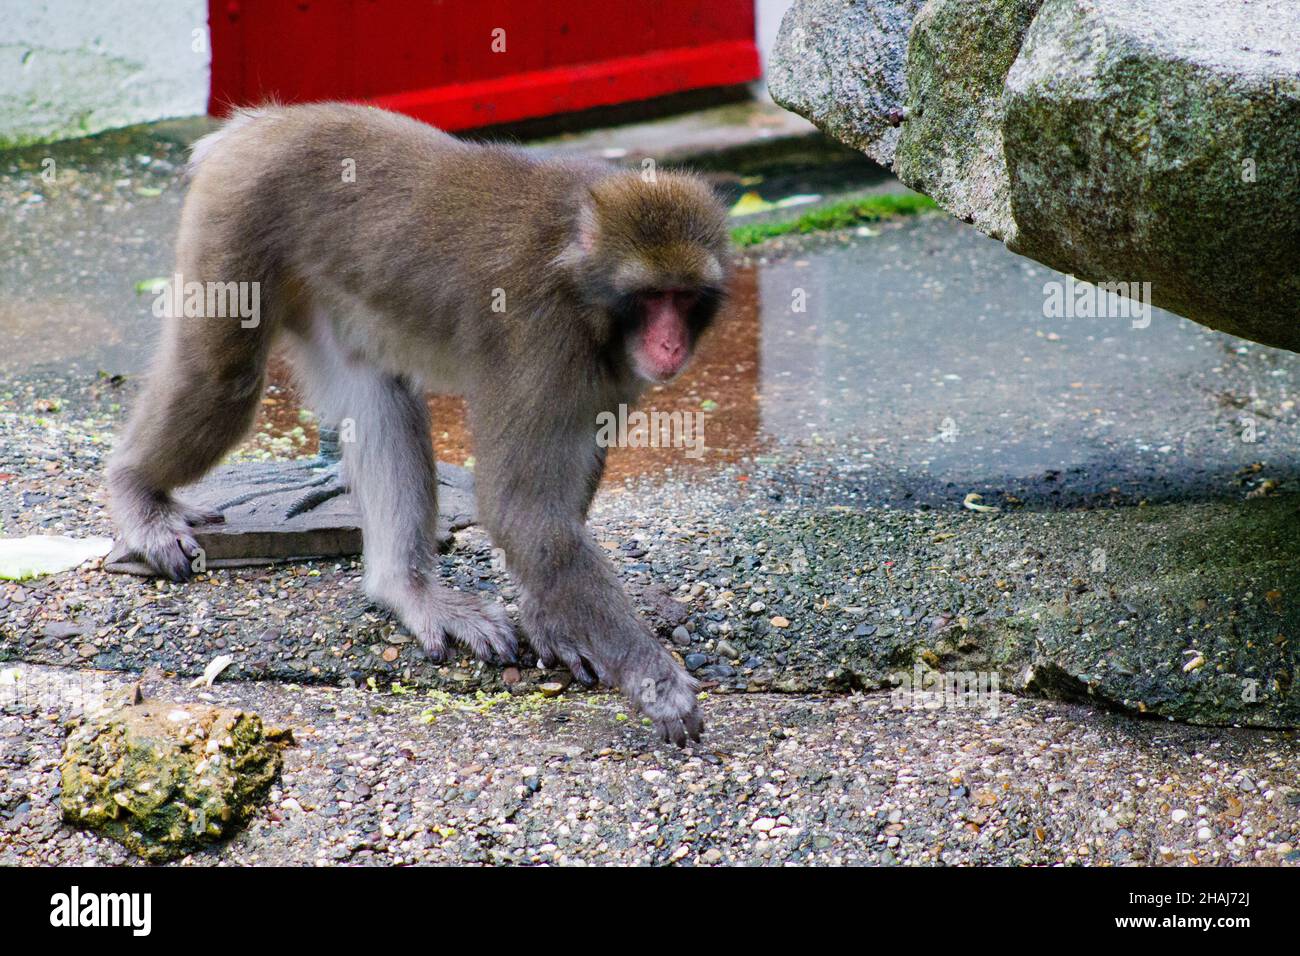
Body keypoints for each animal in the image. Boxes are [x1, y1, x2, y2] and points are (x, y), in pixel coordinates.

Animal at [106, 103, 730, 745]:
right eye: (652, 296)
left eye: (684, 298)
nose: (669, 344)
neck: (583, 286)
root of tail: (261, 124)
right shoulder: (540, 336)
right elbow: (523, 510)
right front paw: (655, 680)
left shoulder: (612, 371)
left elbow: (553, 504)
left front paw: (549, 618)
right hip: (233, 217)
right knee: (220, 380)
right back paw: (135, 491)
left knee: (378, 397)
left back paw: (404, 592)